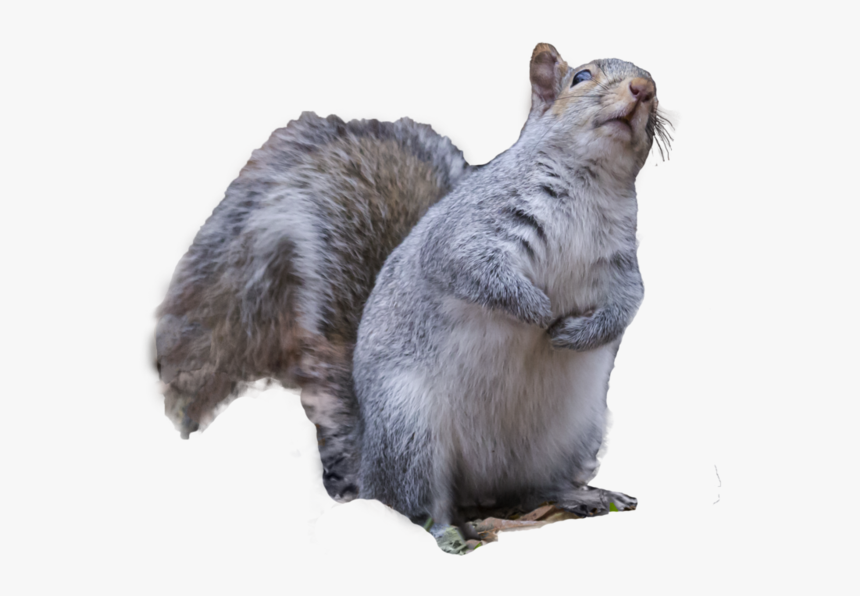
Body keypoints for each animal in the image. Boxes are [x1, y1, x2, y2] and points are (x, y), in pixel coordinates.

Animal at [155, 43, 670, 539]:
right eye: (580, 76)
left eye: (658, 85)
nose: (643, 89)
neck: (590, 184)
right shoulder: (468, 230)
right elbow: (473, 269)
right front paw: (537, 309)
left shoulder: (622, 265)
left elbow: (628, 304)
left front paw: (580, 333)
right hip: (412, 434)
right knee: (410, 503)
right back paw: (447, 532)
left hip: (577, 430)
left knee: (531, 489)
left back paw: (579, 495)